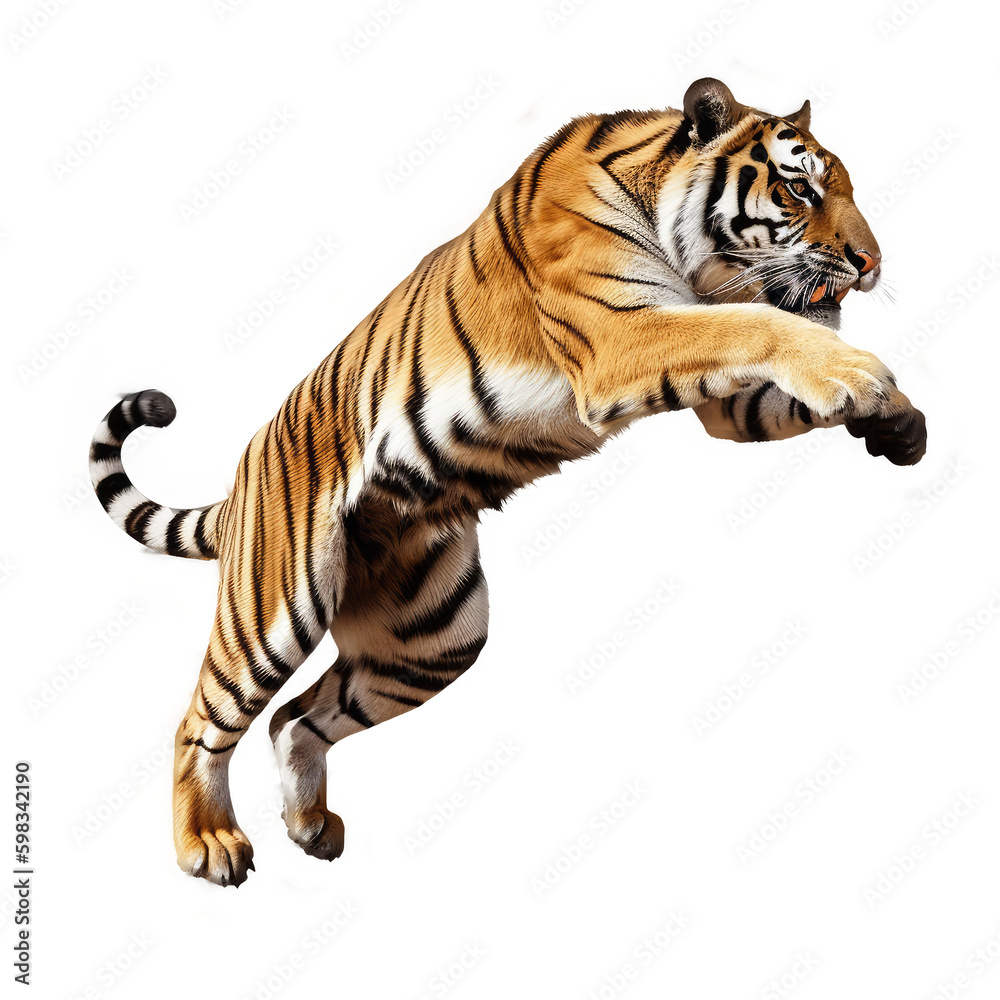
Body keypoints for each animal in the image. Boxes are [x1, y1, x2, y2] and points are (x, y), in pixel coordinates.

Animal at [90, 77, 926, 887]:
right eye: (799, 189)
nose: (872, 264)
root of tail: (243, 478)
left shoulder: (715, 397)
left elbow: (771, 374)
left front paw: (895, 420)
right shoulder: (622, 335)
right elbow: (759, 324)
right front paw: (858, 372)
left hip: (434, 636)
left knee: (295, 717)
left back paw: (311, 828)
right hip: (277, 603)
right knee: (204, 721)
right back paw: (209, 846)